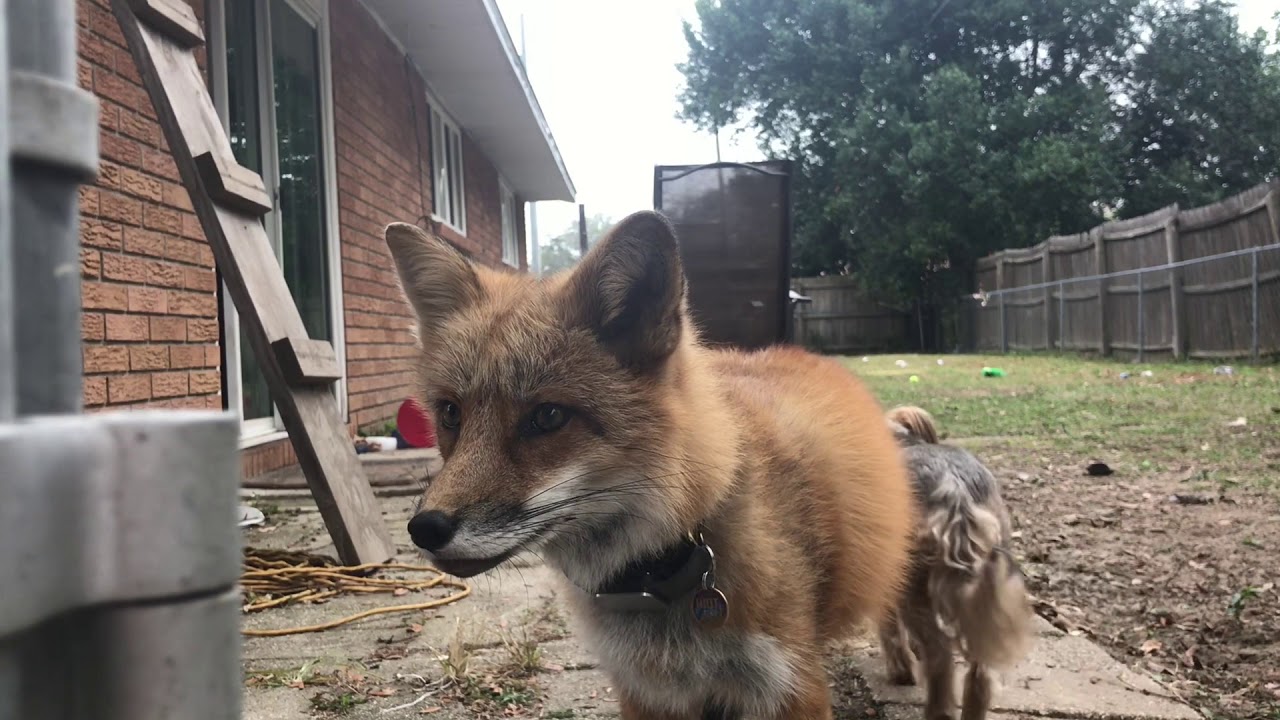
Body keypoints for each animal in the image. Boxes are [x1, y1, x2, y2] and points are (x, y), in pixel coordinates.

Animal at [384, 210, 917, 720]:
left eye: (548, 416)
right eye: (451, 413)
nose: (425, 529)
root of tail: (803, 353)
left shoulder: (790, 687)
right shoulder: (649, 693)